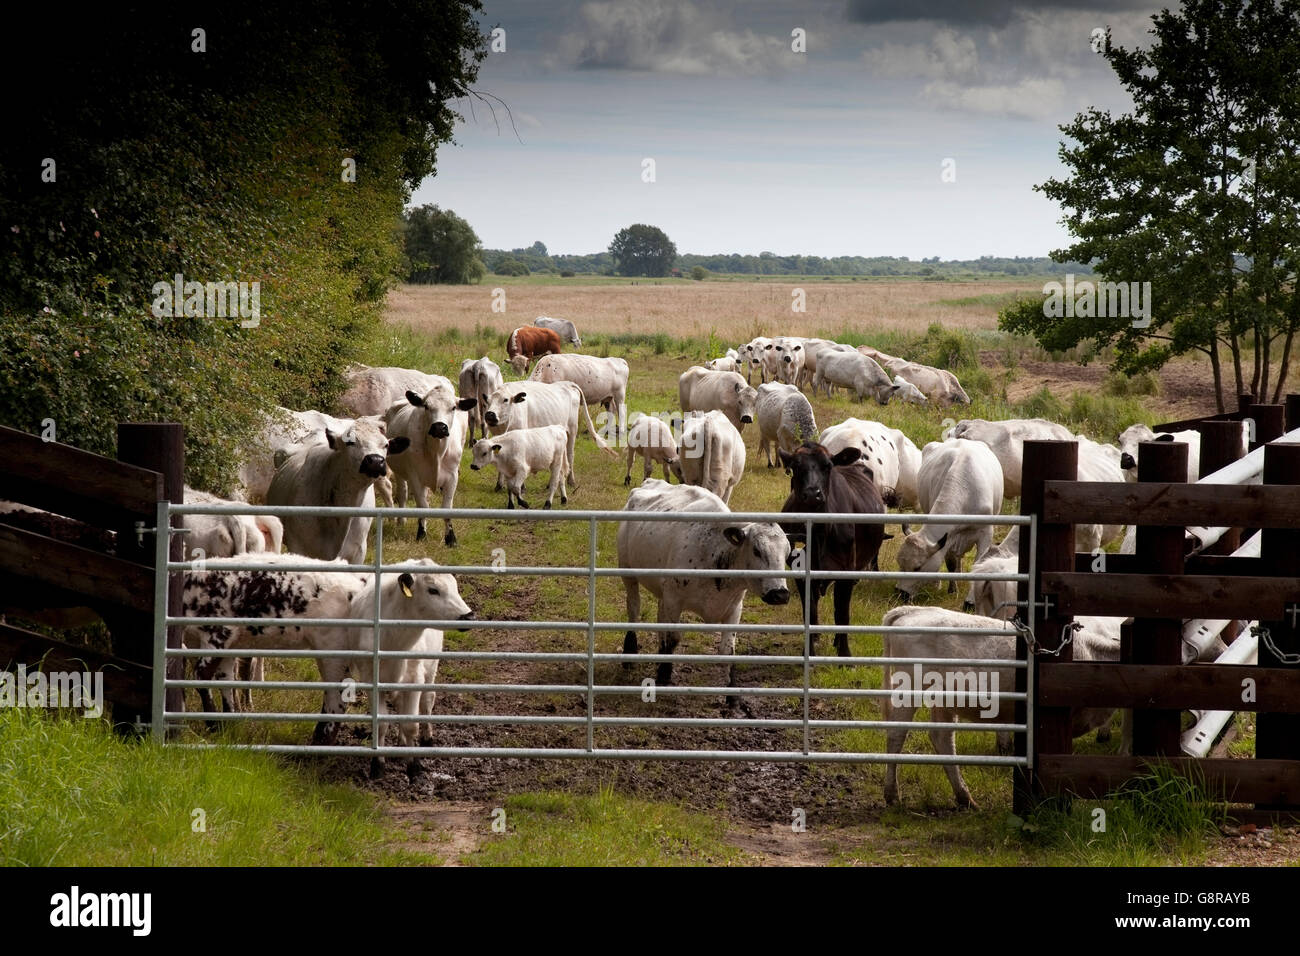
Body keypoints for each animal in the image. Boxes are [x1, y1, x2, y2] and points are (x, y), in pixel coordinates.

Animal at [384, 382, 478, 546]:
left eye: (453, 407)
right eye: (426, 406)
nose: (439, 427)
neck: (436, 451)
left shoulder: (452, 477)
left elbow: (446, 508)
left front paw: (451, 539)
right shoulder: (415, 476)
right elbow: (422, 505)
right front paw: (421, 534)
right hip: (399, 471)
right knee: (402, 493)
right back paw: (401, 521)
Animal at [481, 379, 617, 490]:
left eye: (505, 400)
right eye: (488, 401)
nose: (489, 414)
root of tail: (568, 383)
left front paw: (521, 486)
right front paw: (499, 485)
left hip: (572, 430)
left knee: (570, 455)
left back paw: (571, 481)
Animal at [617, 479, 790, 704]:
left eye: (787, 553)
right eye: (757, 550)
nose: (780, 594)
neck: (716, 553)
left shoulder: (733, 608)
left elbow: (727, 649)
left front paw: (732, 695)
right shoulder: (674, 600)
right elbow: (673, 638)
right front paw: (664, 675)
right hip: (629, 574)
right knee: (634, 609)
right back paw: (629, 653)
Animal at [778, 442, 889, 657]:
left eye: (827, 466)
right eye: (795, 466)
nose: (813, 494)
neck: (819, 532)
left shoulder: (846, 572)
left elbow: (842, 614)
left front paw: (844, 653)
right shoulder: (800, 572)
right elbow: (809, 610)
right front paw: (809, 650)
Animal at [895, 439, 1004, 601]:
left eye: (917, 568)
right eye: (900, 563)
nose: (901, 593)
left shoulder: (986, 533)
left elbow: (979, 563)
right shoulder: (950, 537)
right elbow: (950, 562)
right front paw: (952, 589)